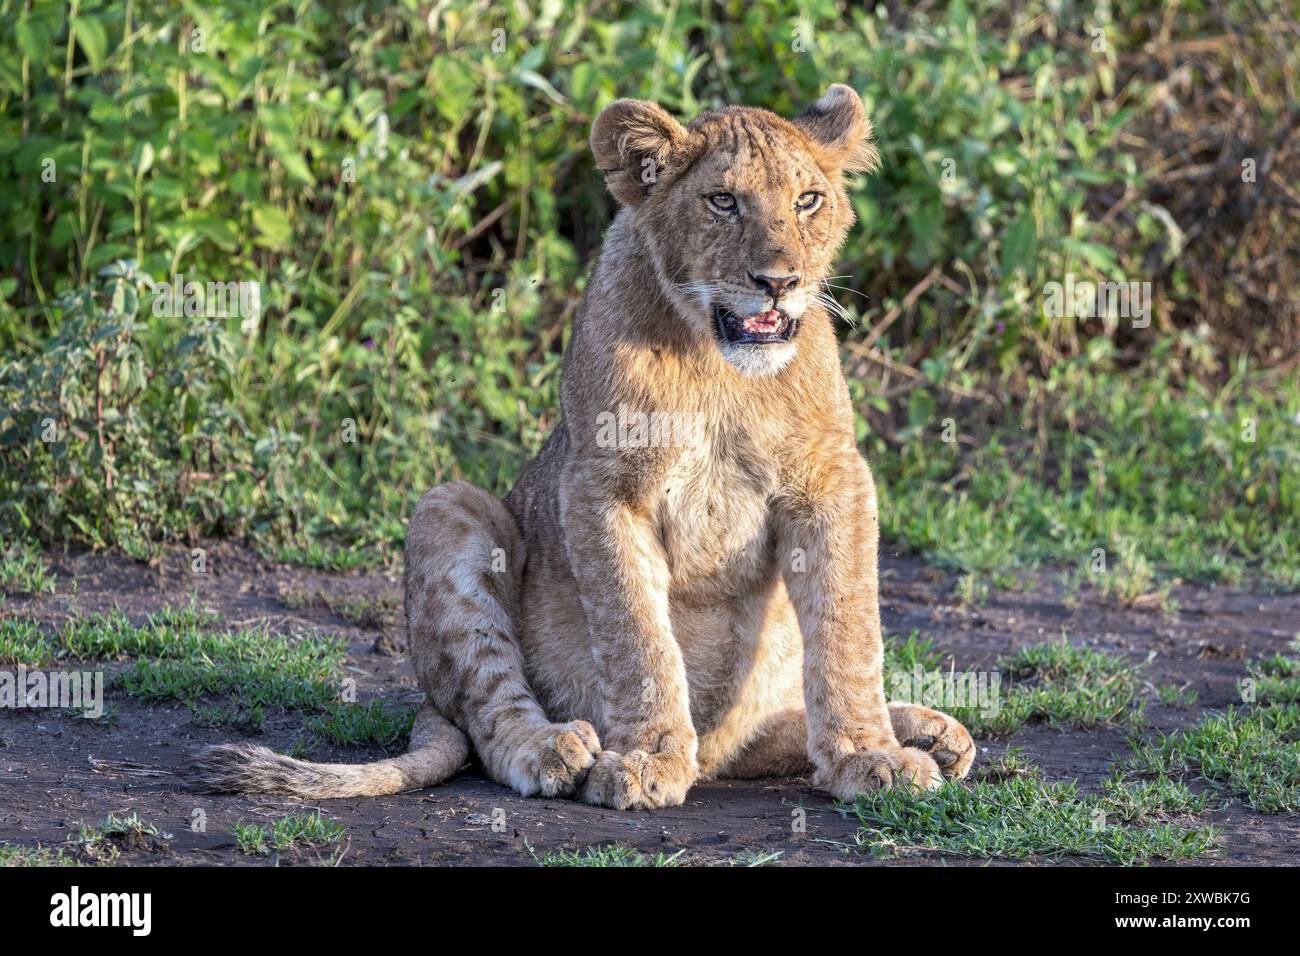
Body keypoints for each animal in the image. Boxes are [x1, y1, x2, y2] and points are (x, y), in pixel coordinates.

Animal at [191, 85, 976, 809]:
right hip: (450, 506)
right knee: (486, 711)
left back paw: (930, 730)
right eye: (723, 201)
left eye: (808, 200)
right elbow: (638, 637)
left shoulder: (831, 479)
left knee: (751, 739)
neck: (720, 367)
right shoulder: (602, 488)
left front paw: (870, 754)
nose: (779, 282)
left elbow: (848, 630)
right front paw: (647, 759)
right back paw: (556, 748)